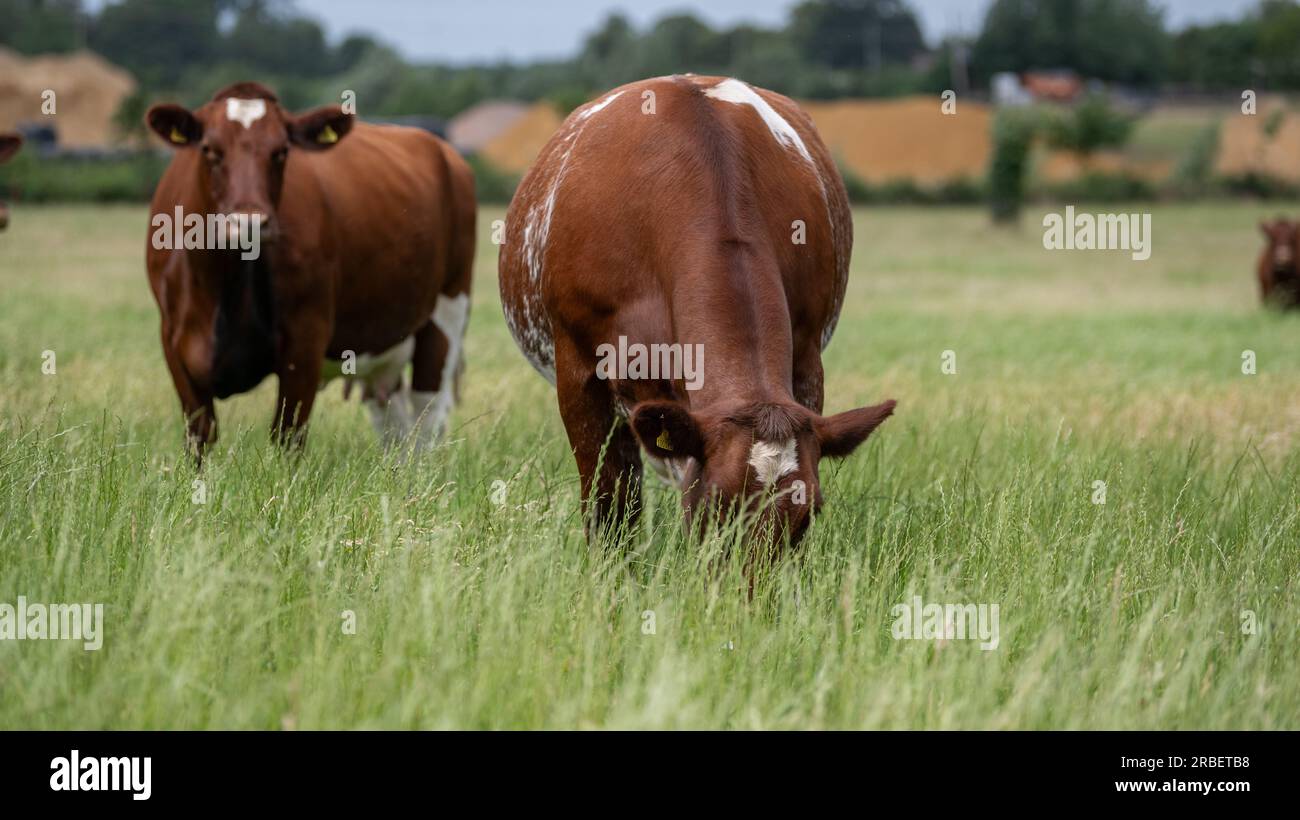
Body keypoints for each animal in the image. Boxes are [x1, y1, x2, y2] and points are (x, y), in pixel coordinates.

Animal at [145, 83, 476, 459]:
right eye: (209, 149)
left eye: (281, 151)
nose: (248, 222)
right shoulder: (175, 345)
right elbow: (200, 437)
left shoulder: (305, 341)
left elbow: (287, 437)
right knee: (394, 423)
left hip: (448, 312)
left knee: (428, 416)